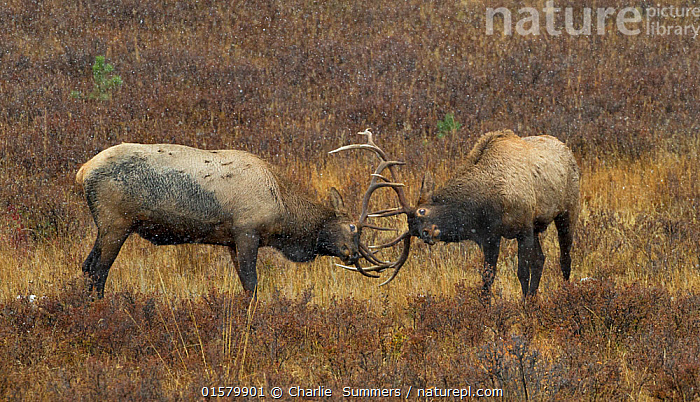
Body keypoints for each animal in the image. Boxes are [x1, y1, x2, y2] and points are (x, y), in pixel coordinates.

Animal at [76, 143, 360, 298]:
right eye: (353, 227)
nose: (355, 254)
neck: (282, 206)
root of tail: (82, 171)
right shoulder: (247, 232)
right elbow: (252, 284)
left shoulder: (232, 241)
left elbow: (245, 284)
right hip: (115, 223)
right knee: (98, 270)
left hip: (107, 226)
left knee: (87, 266)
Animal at [332, 129, 580, 301]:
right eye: (413, 230)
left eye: (422, 211)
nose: (426, 233)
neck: (488, 202)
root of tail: (568, 150)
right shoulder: (490, 236)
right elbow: (488, 277)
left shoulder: (523, 227)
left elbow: (522, 271)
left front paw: (524, 305)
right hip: (540, 225)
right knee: (542, 259)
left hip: (568, 211)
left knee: (564, 258)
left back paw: (564, 293)